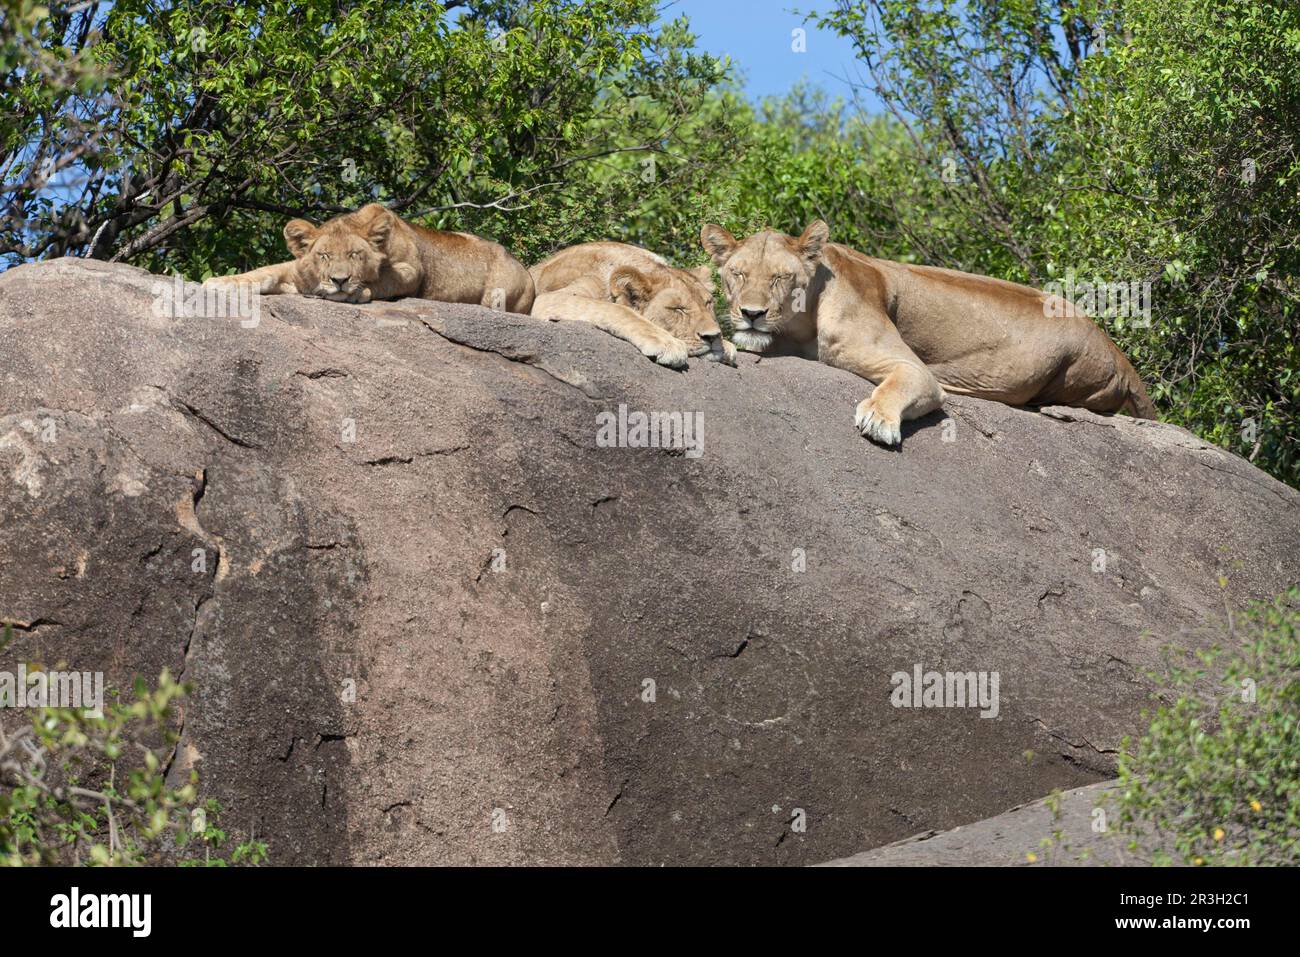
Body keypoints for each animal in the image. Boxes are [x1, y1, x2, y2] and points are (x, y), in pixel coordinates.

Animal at [205, 203, 534, 312]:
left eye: (355, 254)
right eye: (324, 255)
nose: (339, 280)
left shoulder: (412, 271)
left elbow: (384, 278)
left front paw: (356, 291)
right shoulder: (300, 274)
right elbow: (266, 271)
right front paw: (220, 282)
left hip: (500, 293)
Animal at [529, 242, 735, 369]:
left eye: (708, 303)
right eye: (678, 309)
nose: (713, 337)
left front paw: (726, 346)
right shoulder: (548, 299)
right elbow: (616, 309)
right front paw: (667, 343)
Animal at [700, 220, 1156, 446]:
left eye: (780, 278)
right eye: (738, 274)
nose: (752, 314)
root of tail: (1121, 357)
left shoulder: (912, 368)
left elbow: (900, 383)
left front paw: (878, 419)